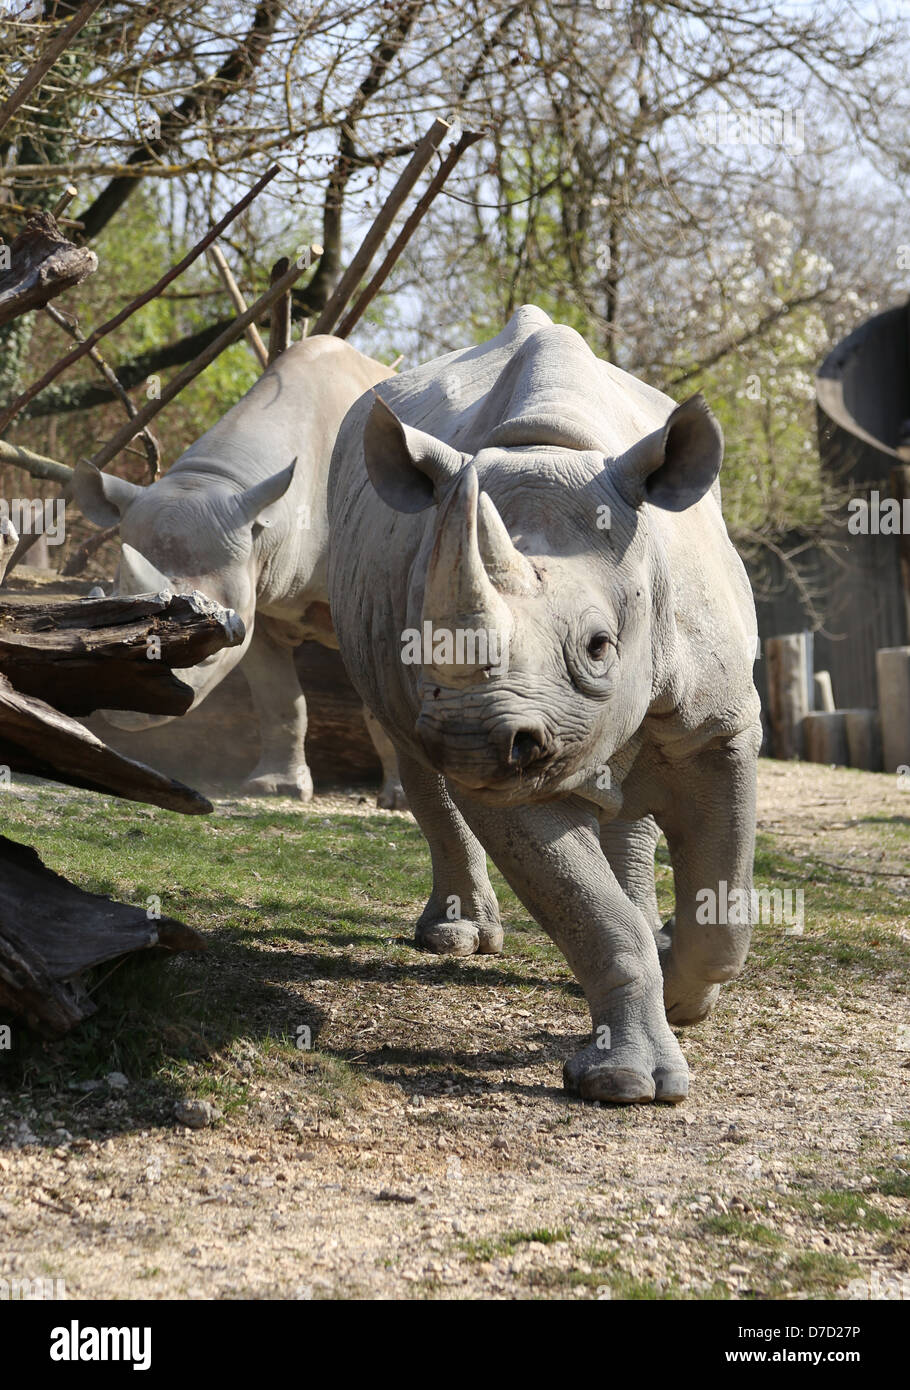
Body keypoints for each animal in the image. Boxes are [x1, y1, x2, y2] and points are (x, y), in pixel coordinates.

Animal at [73, 335, 404, 806]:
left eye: (206, 644)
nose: (124, 712)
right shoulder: (257, 595)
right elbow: (279, 699)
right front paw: (276, 788)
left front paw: (401, 800)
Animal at [328, 305, 762, 1105]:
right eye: (423, 642)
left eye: (598, 647)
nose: (473, 741)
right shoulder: (500, 752)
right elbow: (589, 914)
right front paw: (626, 1086)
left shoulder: (720, 726)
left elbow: (726, 904)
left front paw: (687, 997)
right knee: (416, 759)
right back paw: (457, 939)